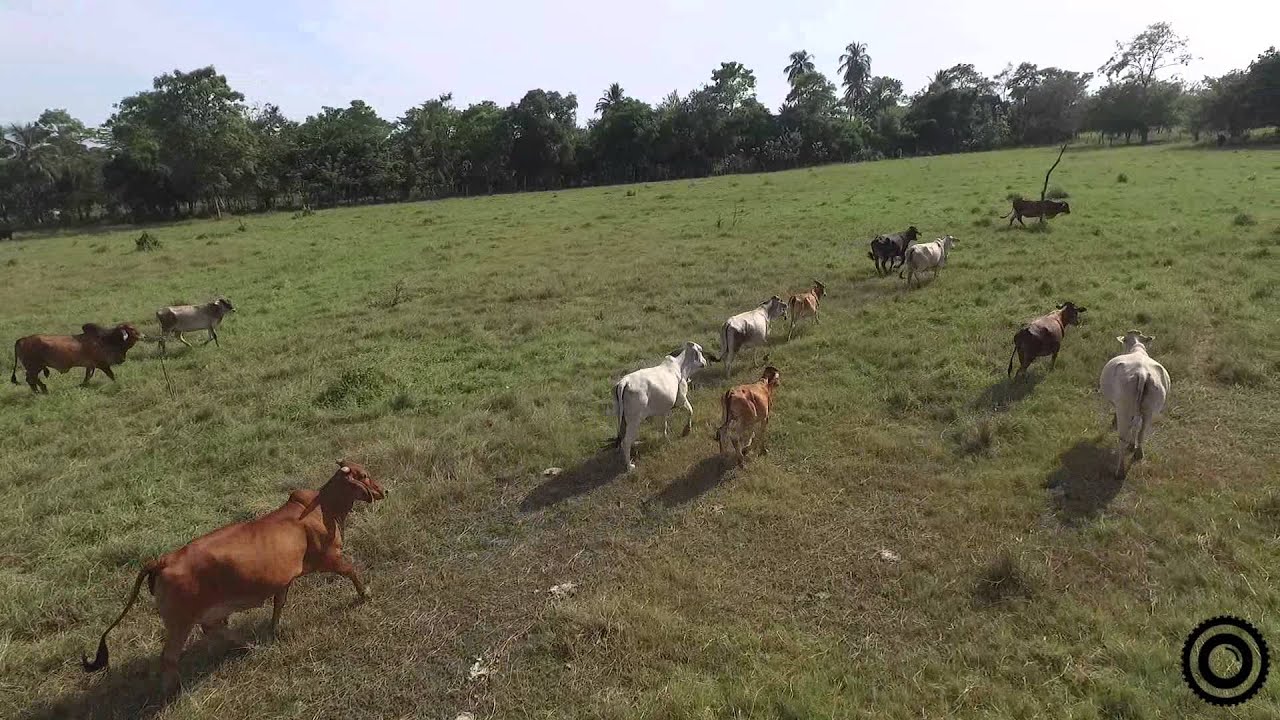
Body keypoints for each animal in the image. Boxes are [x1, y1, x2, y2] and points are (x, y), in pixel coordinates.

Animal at [10, 323, 140, 393]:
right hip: (34, 367)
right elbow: (111, 375)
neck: (106, 340)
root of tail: (22, 340)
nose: (143, 335)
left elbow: (87, 376)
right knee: (31, 379)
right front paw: (117, 383)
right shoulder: (102, 364)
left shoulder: (90, 365)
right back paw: (42, 390)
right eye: (132, 329)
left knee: (32, 380)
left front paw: (83, 385)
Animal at [81, 460, 386, 691]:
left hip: (205, 614)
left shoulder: (283, 581)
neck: (323, 509)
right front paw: (365, 594)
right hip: (179, 623)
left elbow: (278, 604)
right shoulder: (329, 559)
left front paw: (273, 630)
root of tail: (162, 560)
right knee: (169, 657)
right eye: (363, 475)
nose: (383, 490)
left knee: (214, 630)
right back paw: (173, 689)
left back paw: (248, 646)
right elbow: (352, 571)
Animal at [609, 341, 713, 472]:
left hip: (622, 418)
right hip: (634, 420)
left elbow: (664, 423)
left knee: (622, 437)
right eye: (700, 351)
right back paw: (629, 466)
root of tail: (624, 382)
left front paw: (666, 437)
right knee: (626, 442)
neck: (680, 366)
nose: (705, 362)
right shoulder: (682, 399)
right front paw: (686, 431)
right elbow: (690, 411)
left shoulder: (664, 408)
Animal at [1100, 331, 1171, 478]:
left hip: (1124, 408)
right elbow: (1136, 426)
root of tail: (1142, 373)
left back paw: (1119, 471)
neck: (1137, 349)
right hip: (1149, 410)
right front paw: (1133, 445)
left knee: (1122, 438)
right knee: (1142, 432)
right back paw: (1138, 453)